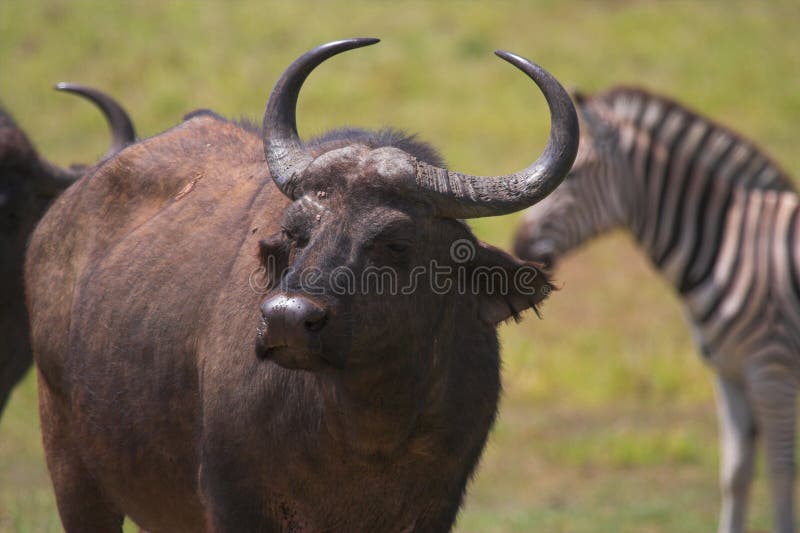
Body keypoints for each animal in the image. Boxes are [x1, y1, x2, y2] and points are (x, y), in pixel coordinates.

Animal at [26, 39, 578, 532]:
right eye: (296, 232)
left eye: (396, 242)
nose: (287, 318)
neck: (369, 432)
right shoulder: (234, 505)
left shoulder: (435, 509)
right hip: (69, 466)